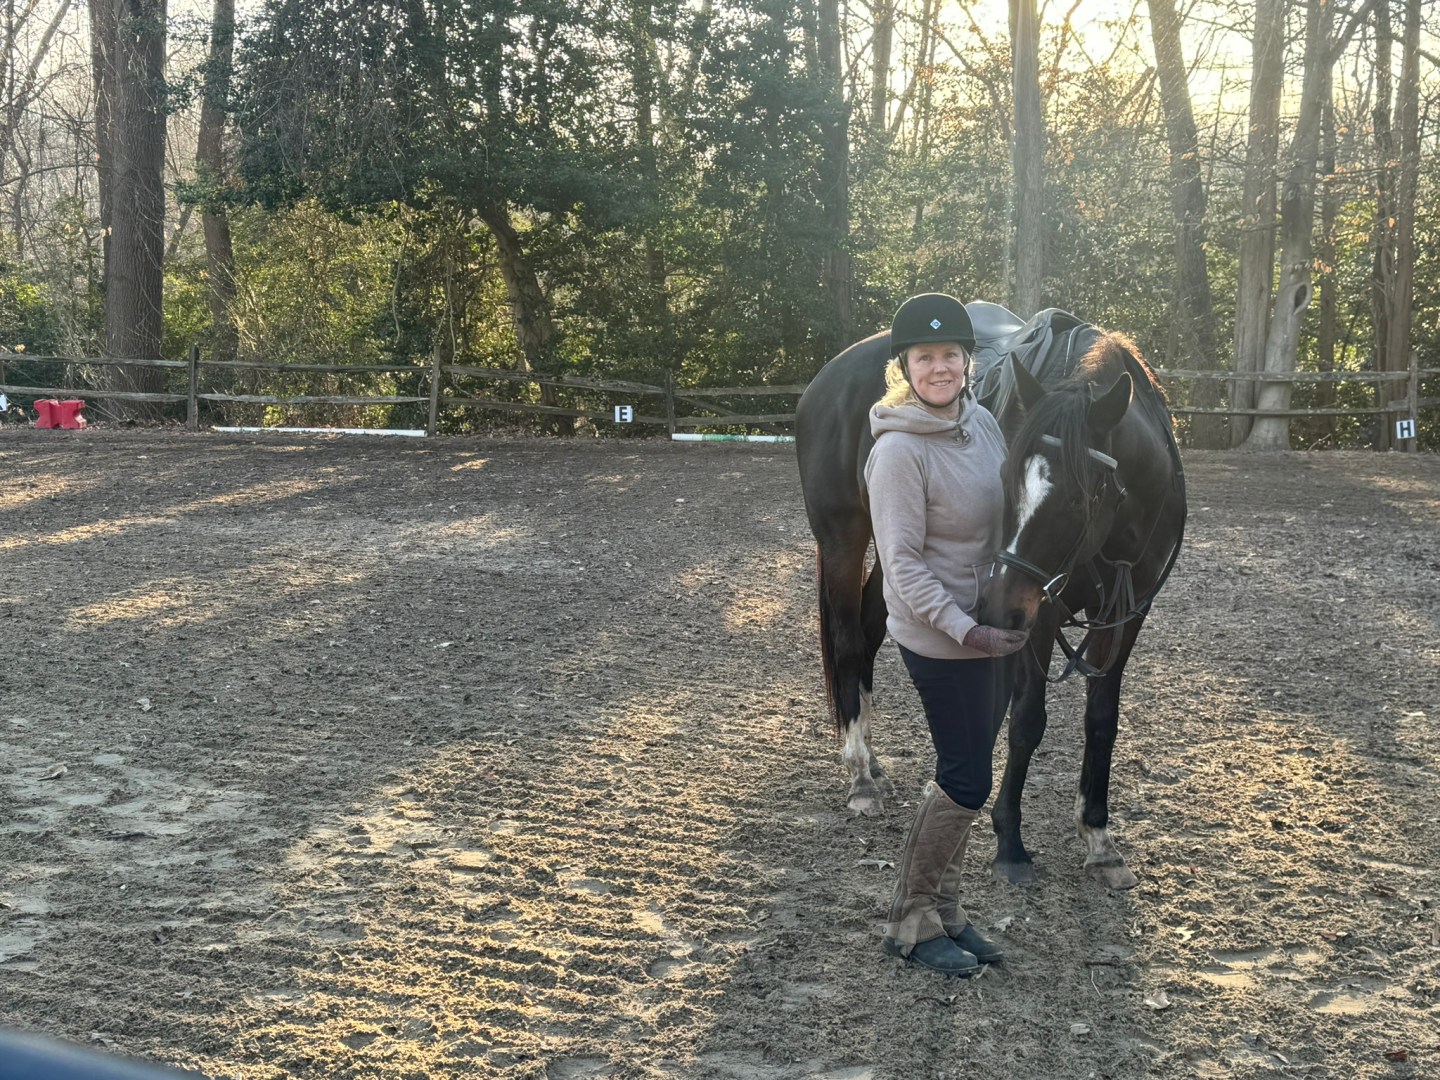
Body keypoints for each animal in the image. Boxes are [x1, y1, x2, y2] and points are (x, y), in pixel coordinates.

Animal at [795, 315, 1185, 890]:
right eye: (1003, 479)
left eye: (1078, 498)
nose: (997, 609)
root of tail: (825, 380)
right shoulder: (1040, 615)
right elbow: (1026, 720)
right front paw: (1010, 843)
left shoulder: (1126, 612)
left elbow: (1102, 718)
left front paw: (1098, 836)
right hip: (843, 538)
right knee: (847, 641)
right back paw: (861, 773)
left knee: (867, 634)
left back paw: (873, 760)